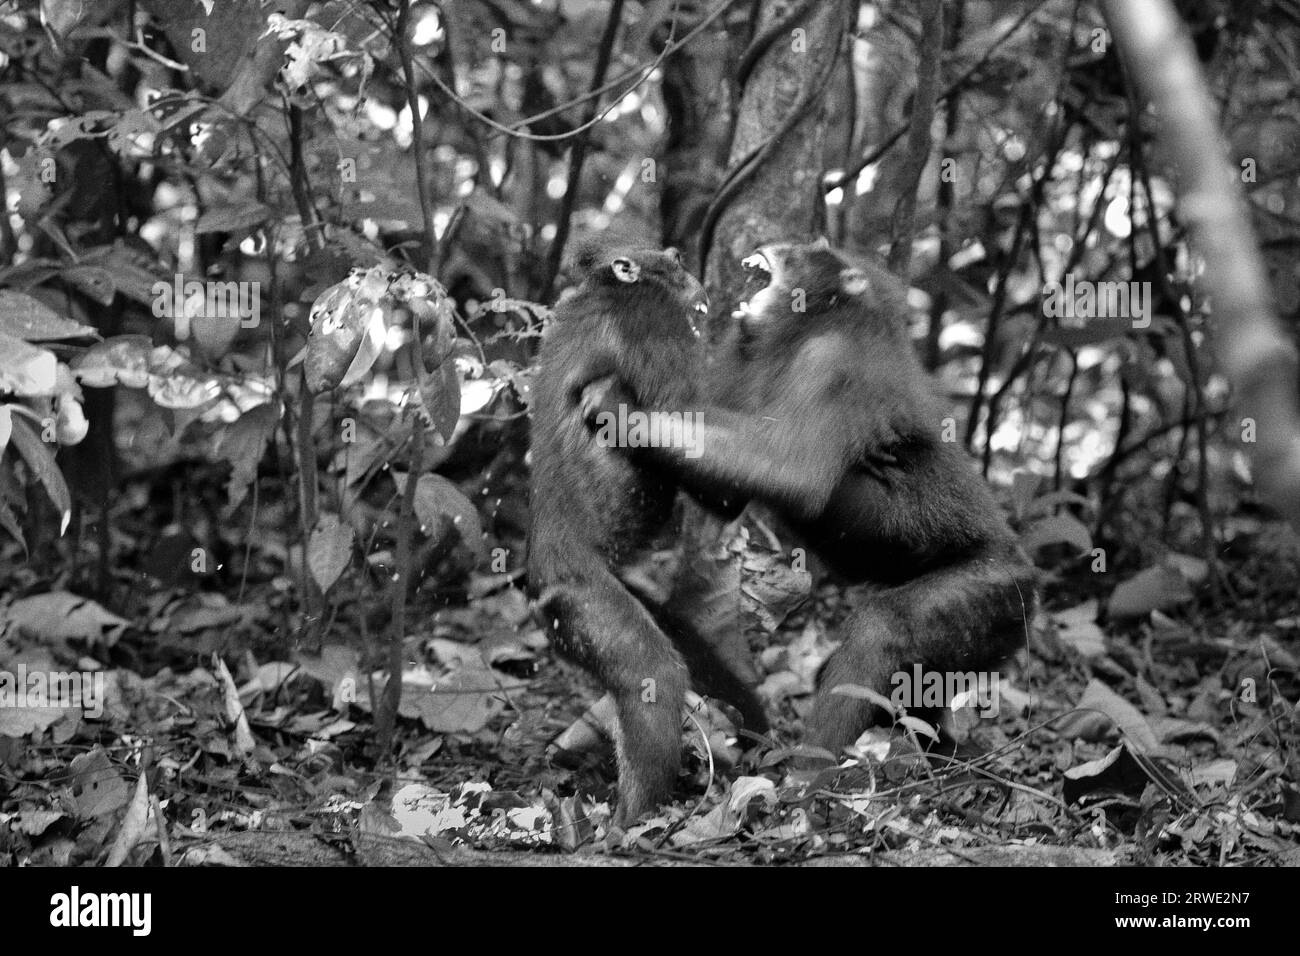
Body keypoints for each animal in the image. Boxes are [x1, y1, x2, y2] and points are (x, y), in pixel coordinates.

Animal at [526, 243, 766, 826]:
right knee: (651, 675)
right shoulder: (654, 329)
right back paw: (631, 821)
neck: (607, 290)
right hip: (580, 602)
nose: (692, 274)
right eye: (673, 260)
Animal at [585, 239, 1037, 755]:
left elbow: (794, 471)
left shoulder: (829, 361)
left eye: (810, 249)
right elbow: (727, 496)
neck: (815, 324)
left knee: (882, 632)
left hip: (999, 591)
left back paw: (809, 768)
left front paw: (621, 409)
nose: (779, 246)